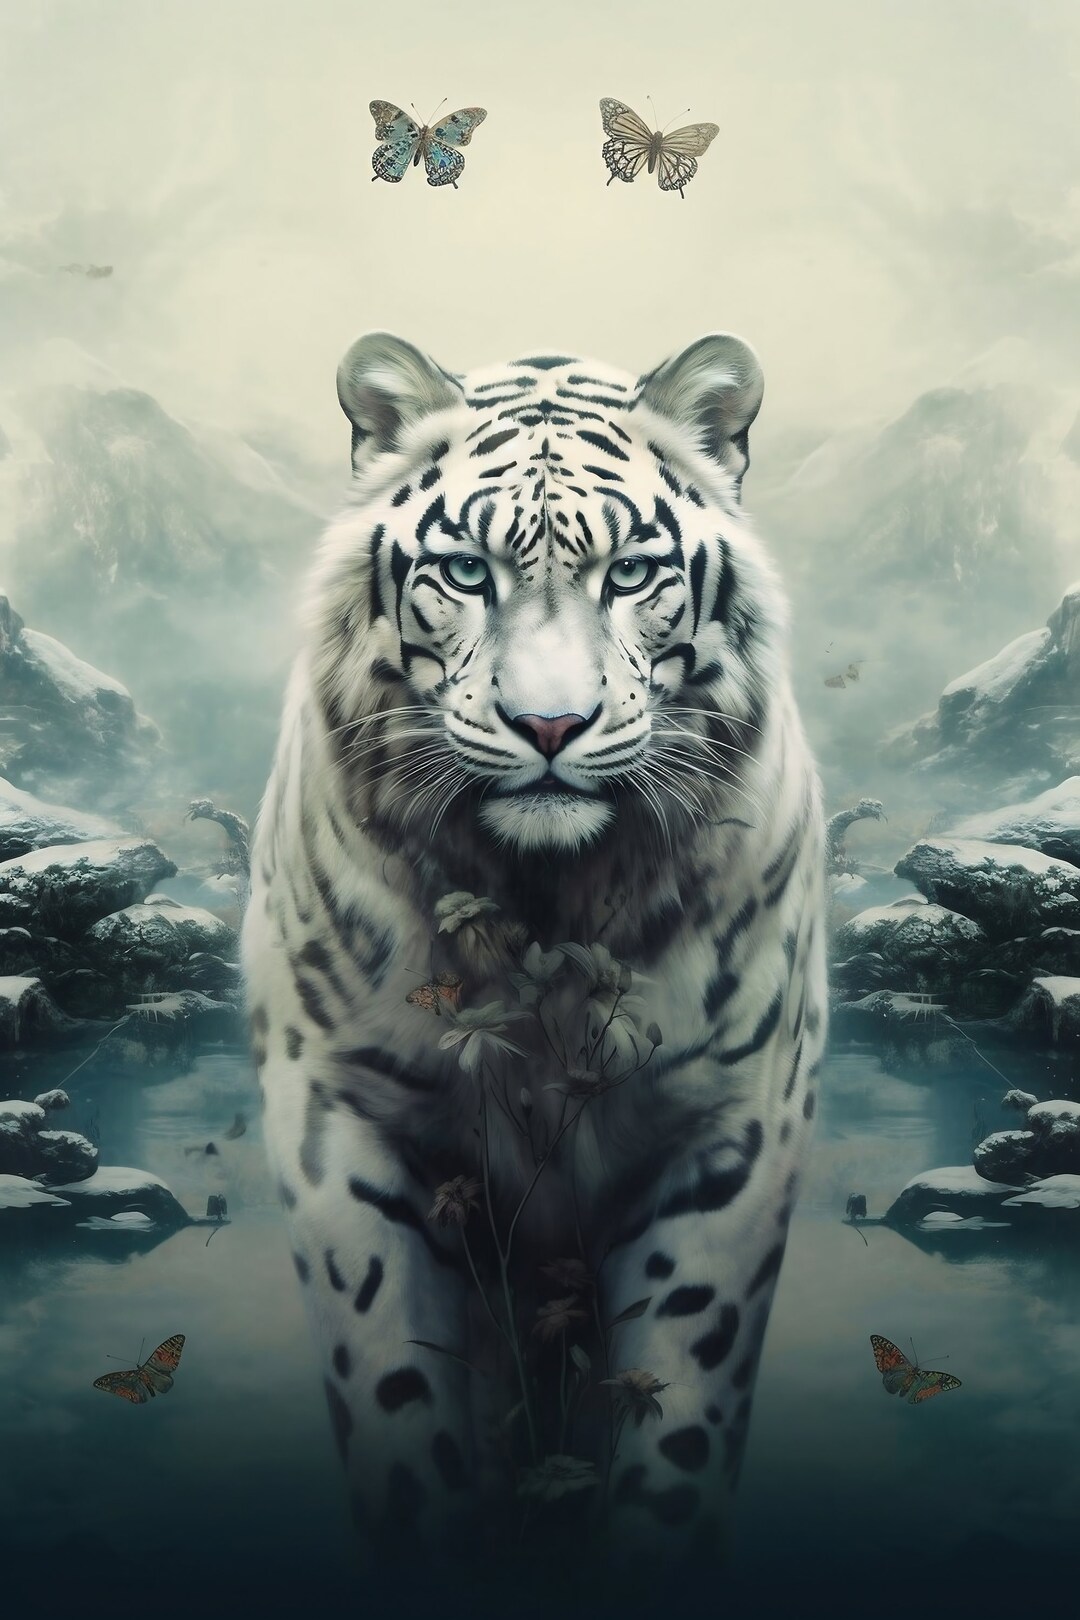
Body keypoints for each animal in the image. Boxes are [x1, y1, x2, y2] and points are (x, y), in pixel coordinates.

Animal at [242, 330, 827, 1597]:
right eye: (466, 573)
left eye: (631, 574)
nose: (549, 728)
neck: (544, 916)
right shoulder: (340, 1108)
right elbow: (395, 1386)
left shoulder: (728, 1124)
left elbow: (681, 1399)